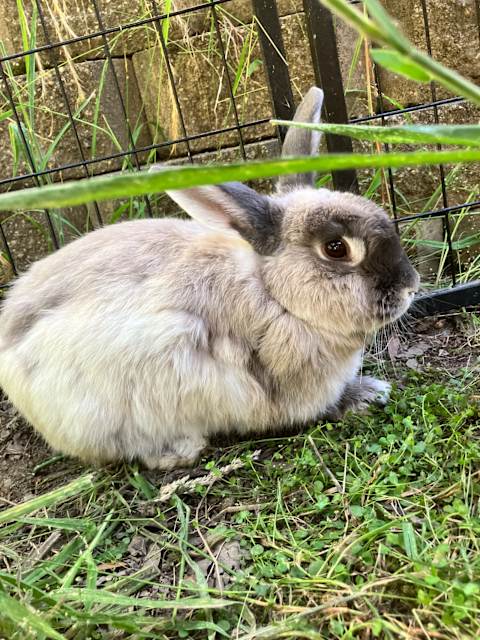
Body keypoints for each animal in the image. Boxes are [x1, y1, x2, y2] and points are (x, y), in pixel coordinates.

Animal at [0, 87, 419, 470]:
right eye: (336, 248)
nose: (410, 286)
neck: (275, 297)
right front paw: (365, 395)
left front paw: (371, 392)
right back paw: (180, 449)